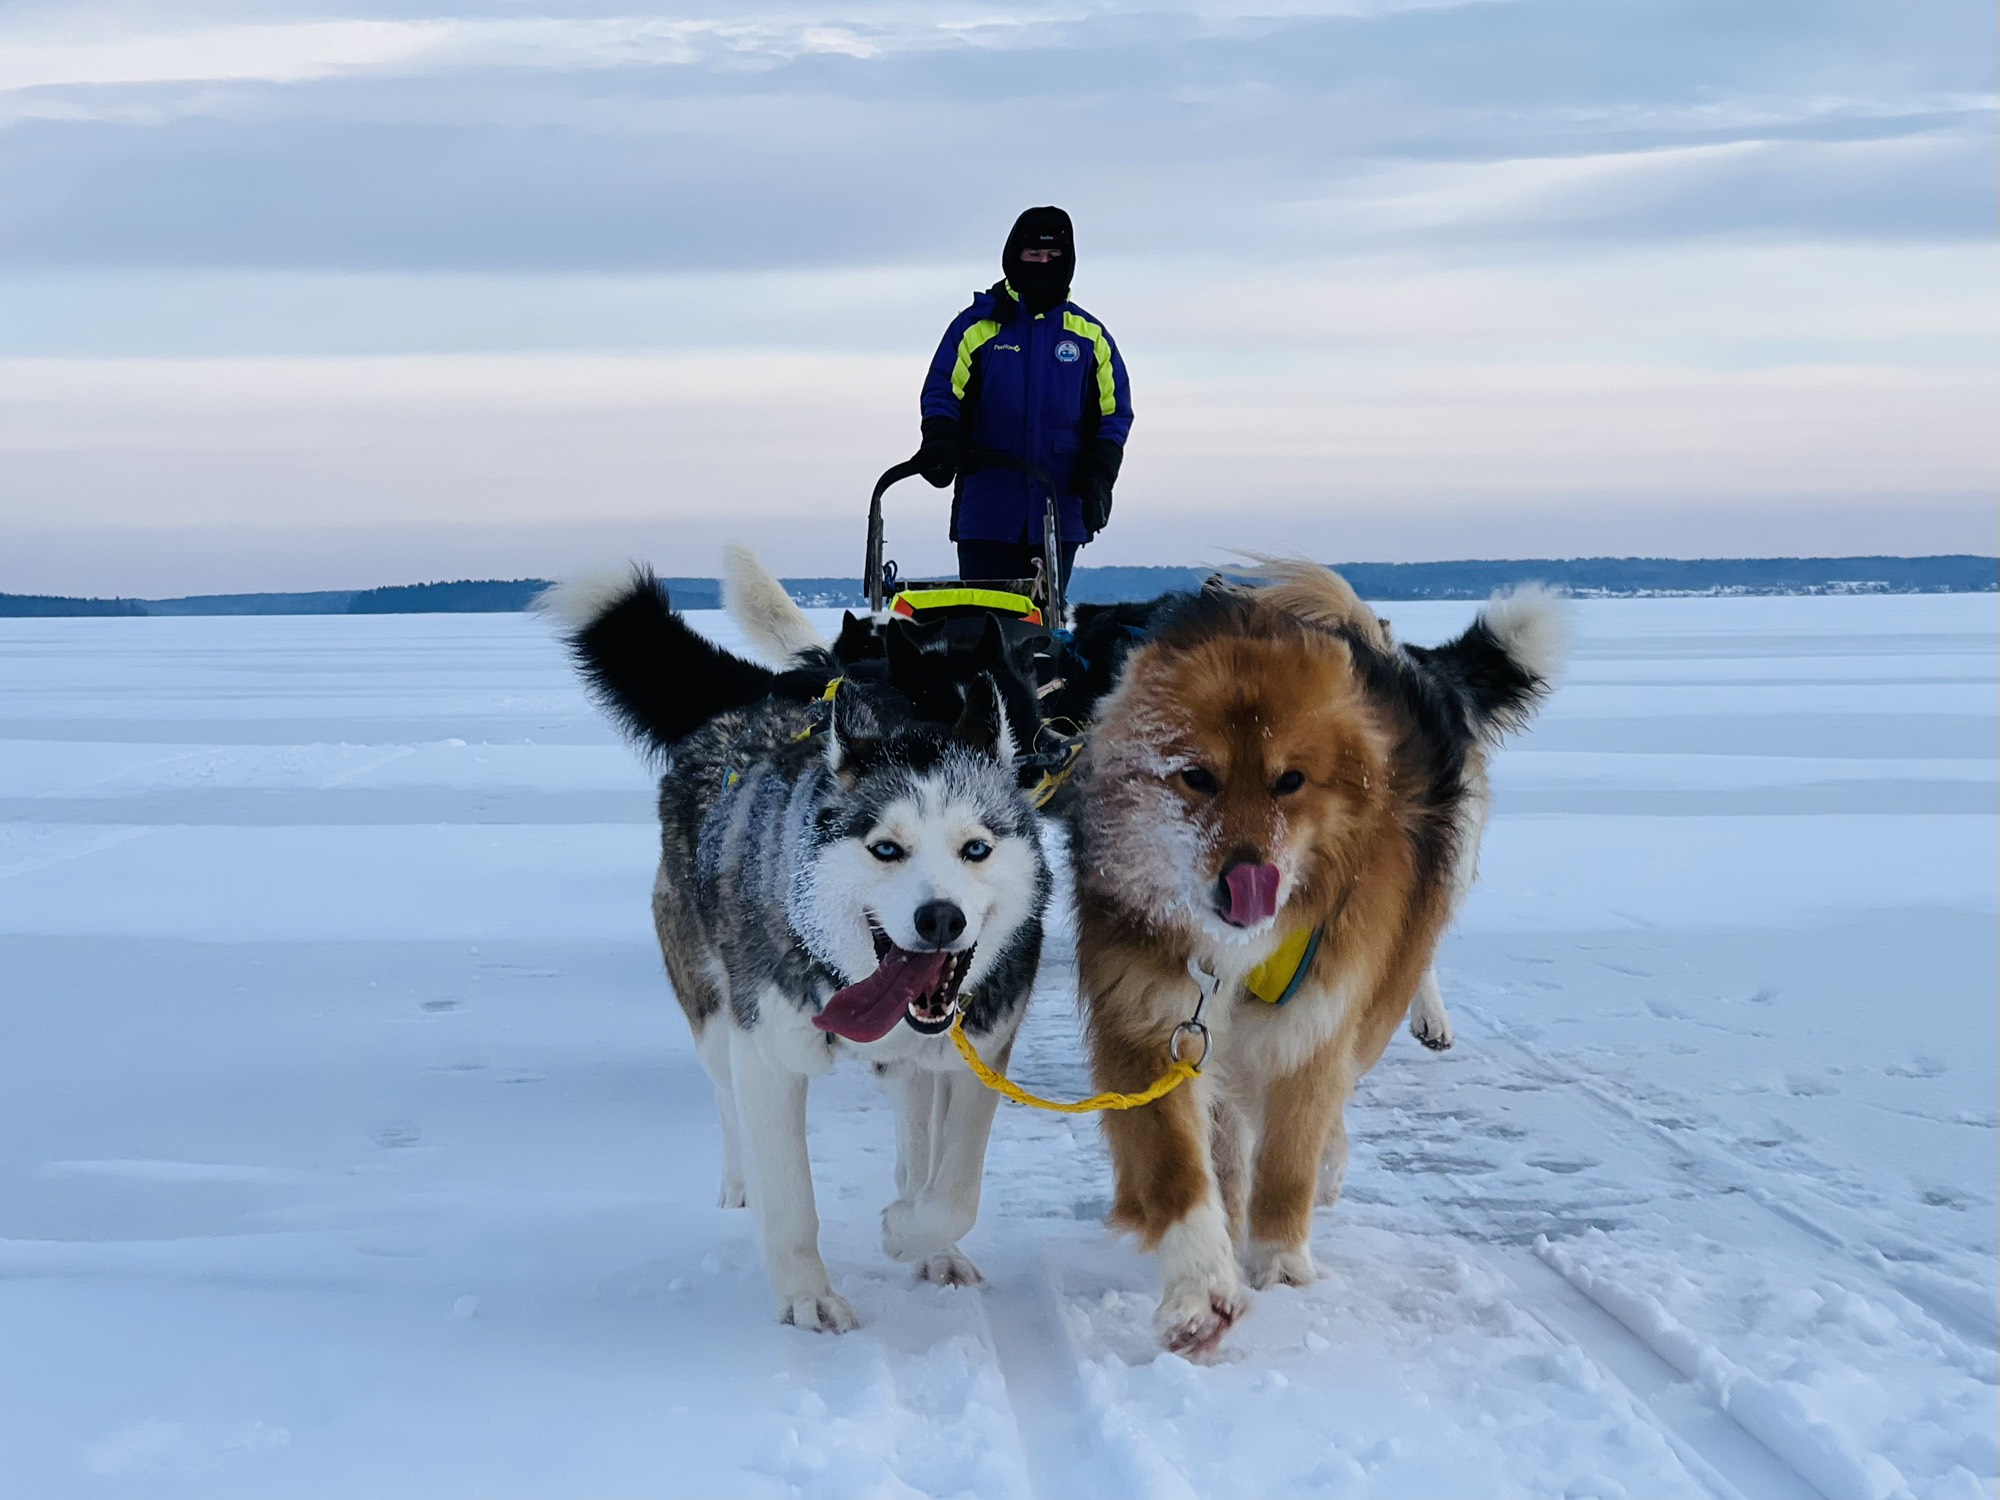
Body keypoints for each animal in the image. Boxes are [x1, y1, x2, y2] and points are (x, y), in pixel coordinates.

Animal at [548, 568, 1048, 1336]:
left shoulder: (981, 1048)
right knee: (727, 1100)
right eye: (885, 849)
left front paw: (912, 1233)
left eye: (976, 848)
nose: (941, 919)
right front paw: (808, 1295)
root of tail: (755, 708)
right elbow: (791, 1196)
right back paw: (738, 1183)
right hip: (713, 1016)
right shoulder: (768, 1054)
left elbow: (953, 1185)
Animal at [1072, 568, 1568, 1360]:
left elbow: (1292, 1152)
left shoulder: (1318, 1012)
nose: (1246, 879)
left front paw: (1280, 1266)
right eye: (1196, 777)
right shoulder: (1149, 1020)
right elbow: (1182, 1171)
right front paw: (1202, 1290)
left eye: (1291, 780)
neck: (1236, 955)